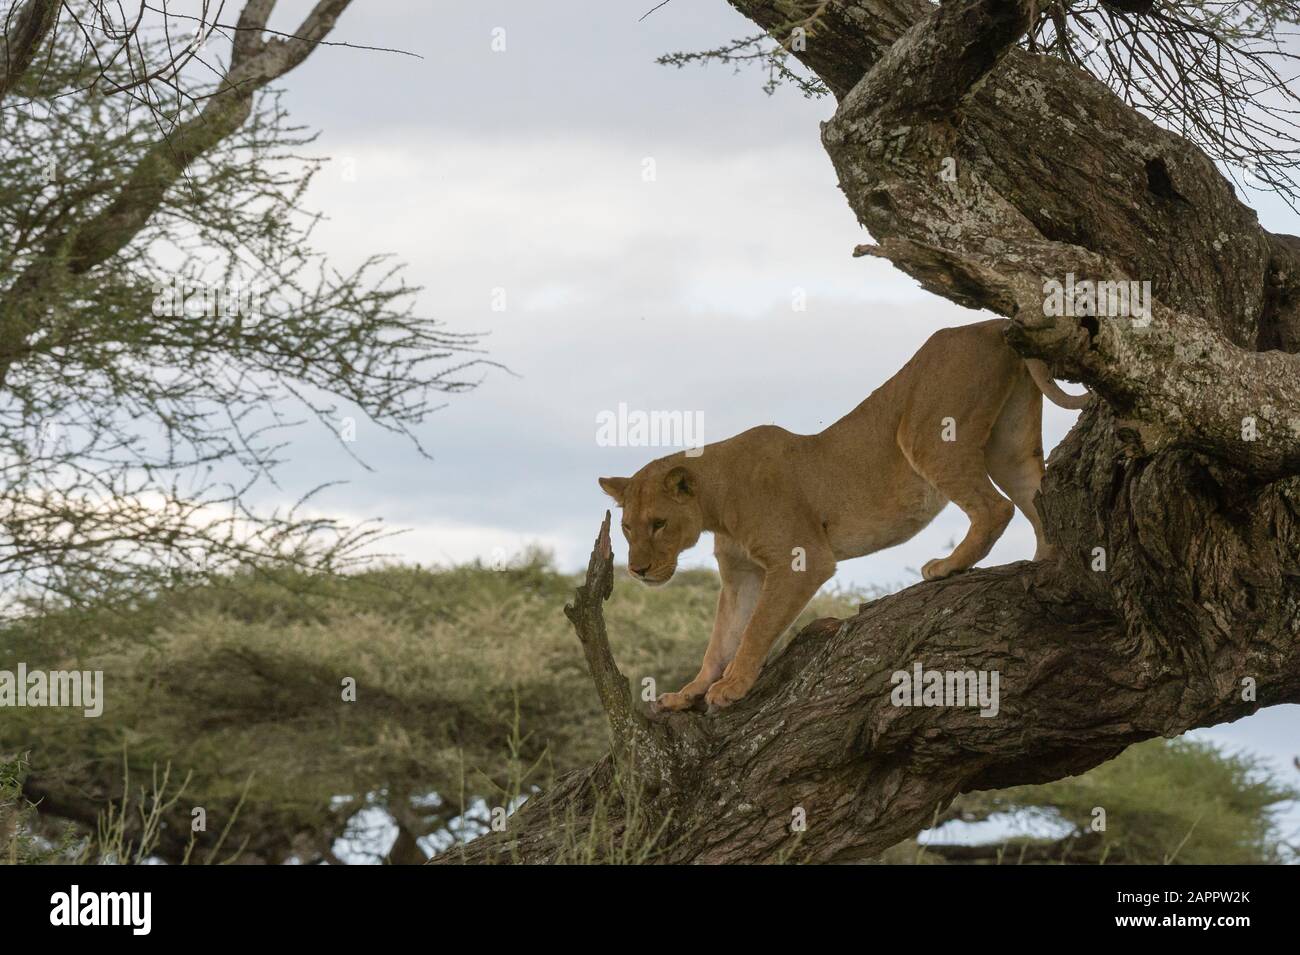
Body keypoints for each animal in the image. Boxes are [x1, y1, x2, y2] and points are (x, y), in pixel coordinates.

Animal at [598, 319, 1087, 712]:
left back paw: (948, 565)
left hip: (927, 433)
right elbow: (722, 638)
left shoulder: (800, 558)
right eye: (626, 527)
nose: (637, 570)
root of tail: (991, 323)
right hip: (1009, 444)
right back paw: (1044, 561)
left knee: (995, 507)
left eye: (658, 524)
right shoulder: (742, 575)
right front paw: (689, 692)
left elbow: (756, 629)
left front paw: (732, 685)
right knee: (1037, 497)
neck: (716, 501)